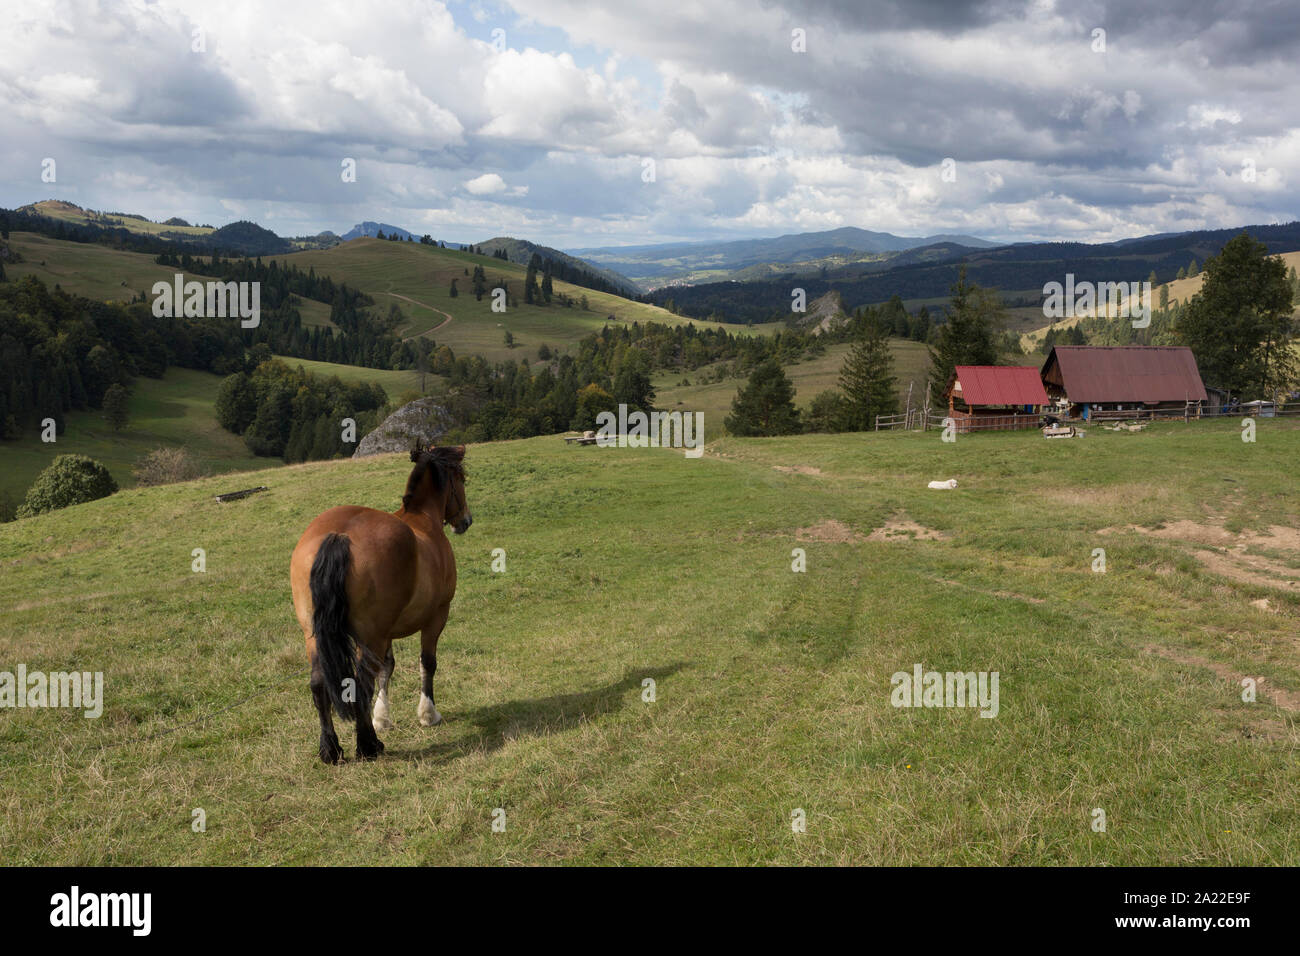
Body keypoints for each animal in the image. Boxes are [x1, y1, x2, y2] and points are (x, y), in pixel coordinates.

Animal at [289, 444, 471, 763]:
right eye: (461, 478)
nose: (466, 520)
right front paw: (428, 714)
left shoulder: (386, 633)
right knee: (361, 682)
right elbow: (427, 663)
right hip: (371, 635)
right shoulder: (436, 618)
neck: (423, 520)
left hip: (315, 636)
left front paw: (381, 717)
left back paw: (331, 749)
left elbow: (388, 667)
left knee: (319, 683)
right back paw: (368, 746)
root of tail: (340, 535)